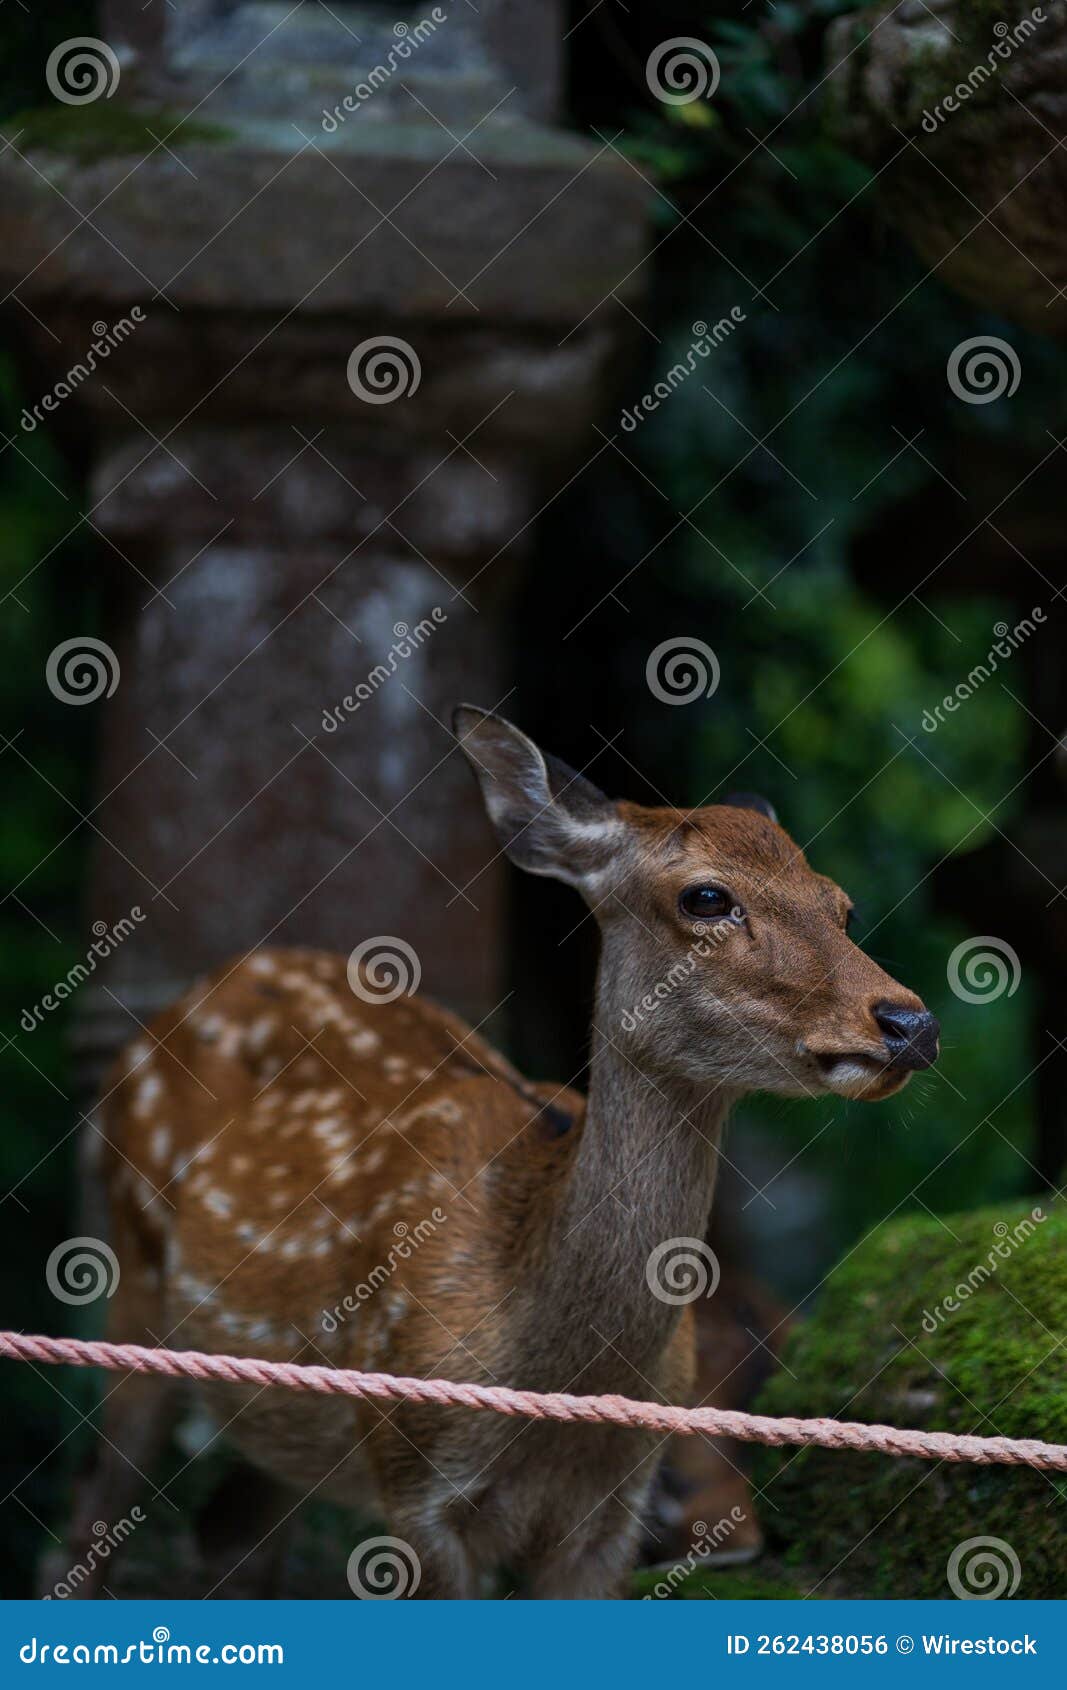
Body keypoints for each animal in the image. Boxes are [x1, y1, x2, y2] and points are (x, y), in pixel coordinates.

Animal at [61, 704, 939, 1599]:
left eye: (841, 907)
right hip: (130, 1283)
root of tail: (183, 1003)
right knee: (87, 1515)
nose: (909, 1022)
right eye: (705, 897)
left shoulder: (612, 1513)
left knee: (228, 1529)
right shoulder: (415, 1477)